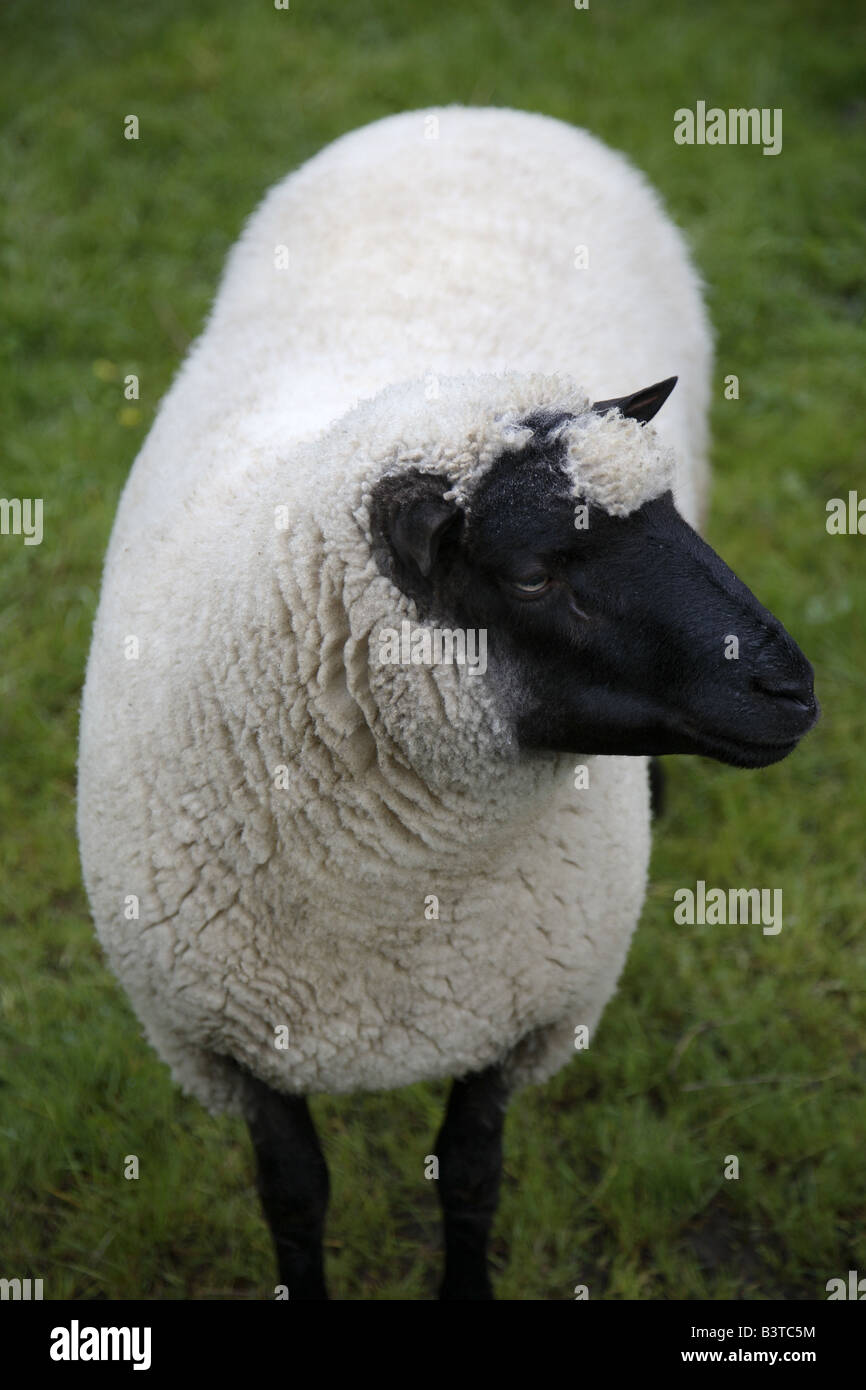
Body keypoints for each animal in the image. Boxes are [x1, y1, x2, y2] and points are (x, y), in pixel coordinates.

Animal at [77, 106, 818, 1300]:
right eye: (533, 576)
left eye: (664, 516)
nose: (789, 689)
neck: (394, 895)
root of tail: (473, 113)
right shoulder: (232, 1039)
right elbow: (295, 1196)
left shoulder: (516, 1016)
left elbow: (468, 1176)